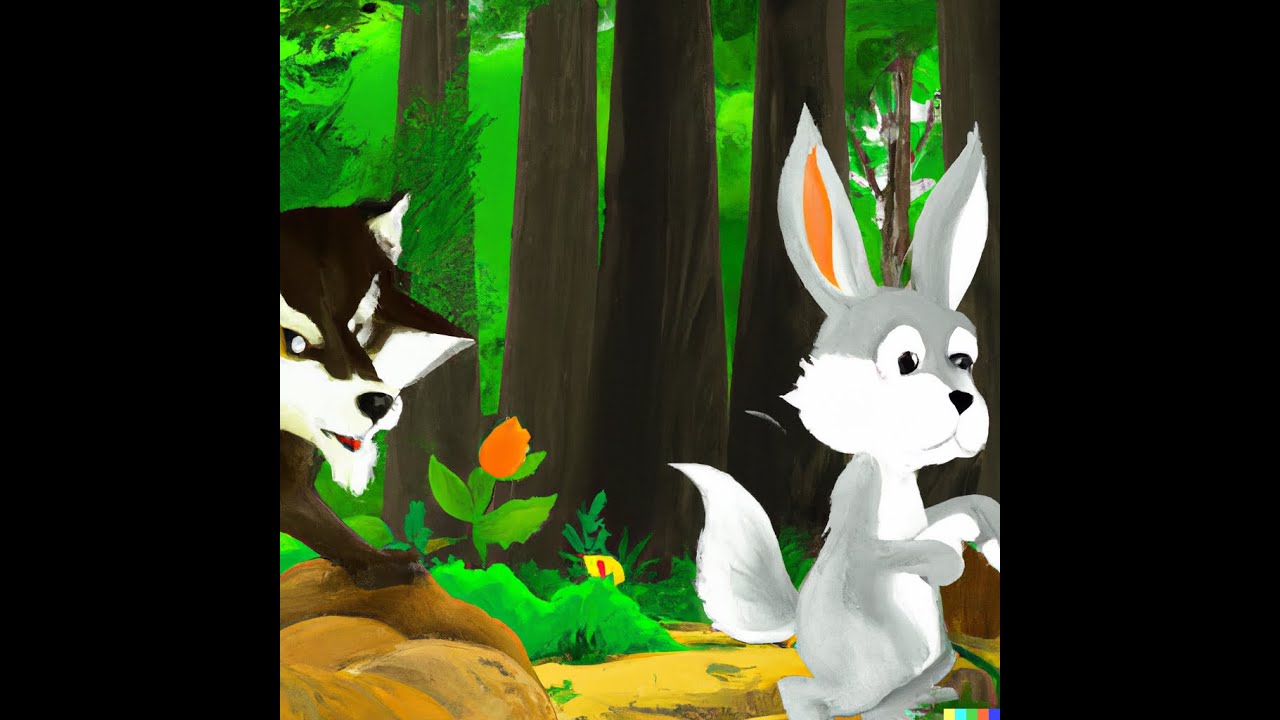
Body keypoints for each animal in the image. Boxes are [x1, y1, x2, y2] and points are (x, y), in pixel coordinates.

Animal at [670, 104, 1000, 720]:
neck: (894, 471)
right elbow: (876, 557)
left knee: (906, 688)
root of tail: (798, 623)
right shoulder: (858, 513)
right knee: (803, 691)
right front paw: (945, 563)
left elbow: (958, 510)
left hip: (933, 653)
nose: (964, 400)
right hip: (861, 672)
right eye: (905, 361)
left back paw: (930, 695)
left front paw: (986, 536)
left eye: (964, 359)